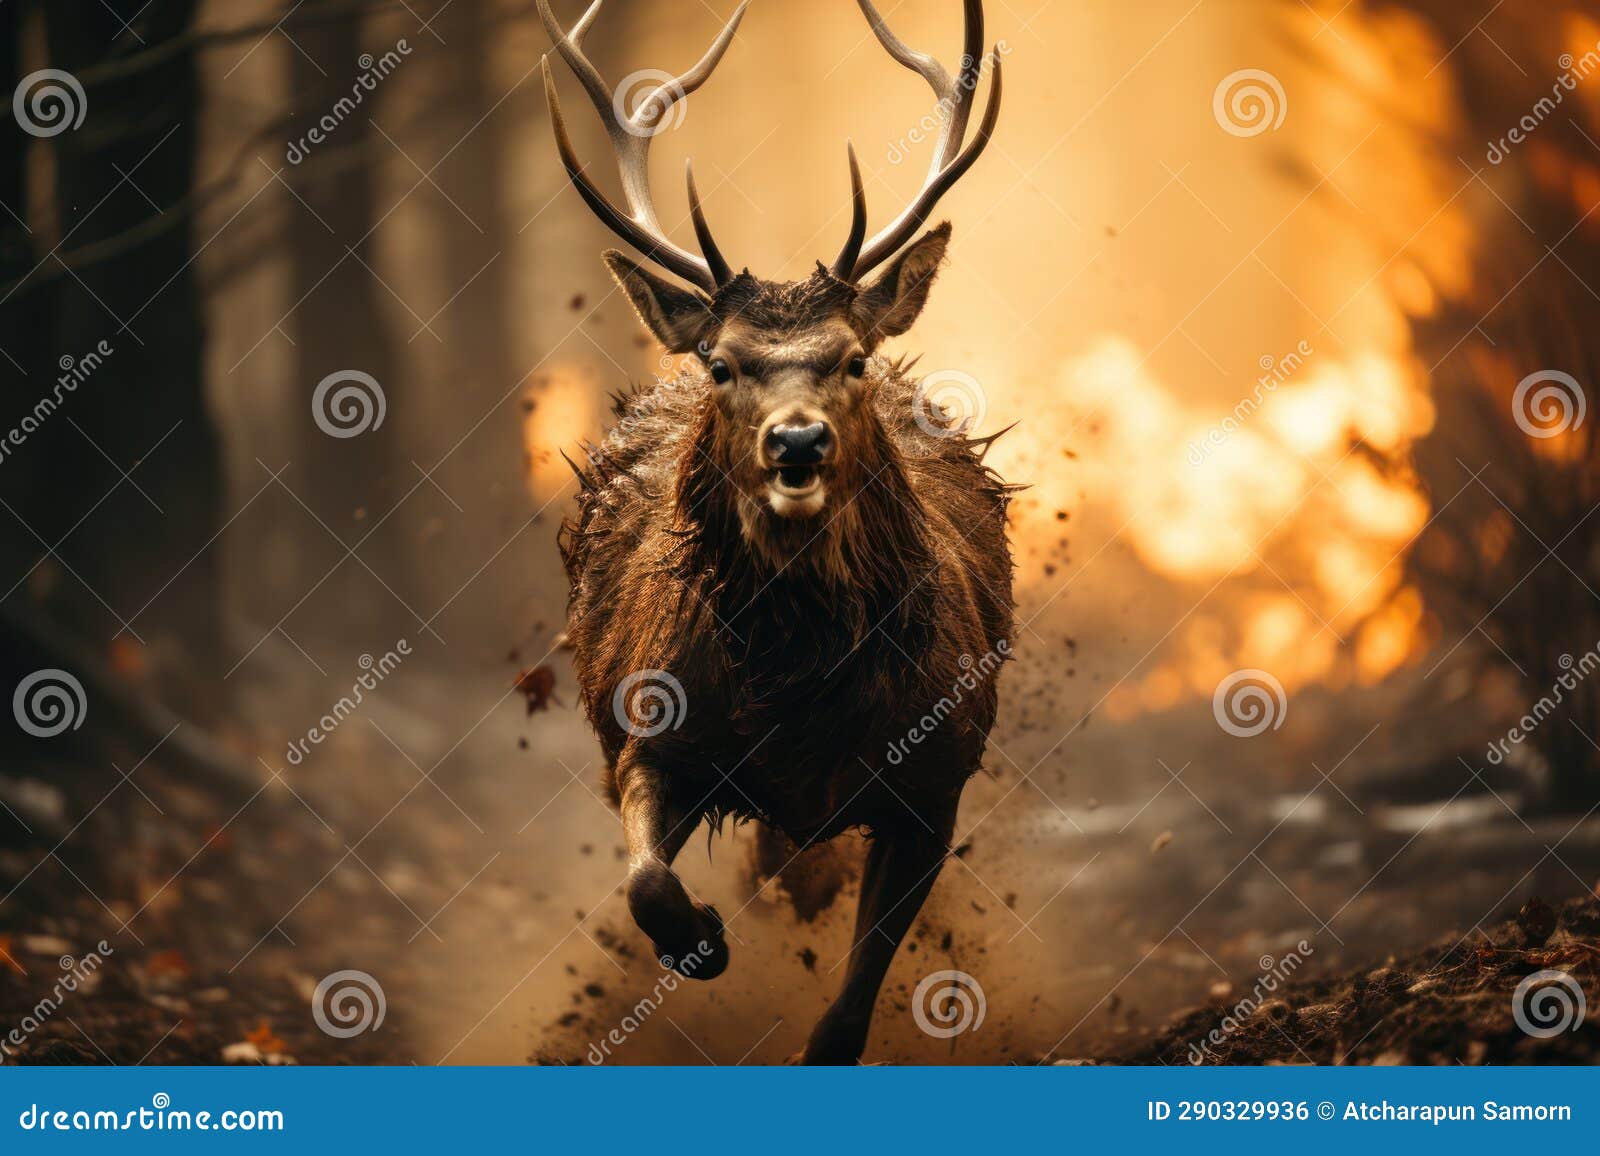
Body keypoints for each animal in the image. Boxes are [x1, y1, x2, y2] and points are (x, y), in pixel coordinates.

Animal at [539, 0, 1014, 1064]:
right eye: (723, 364)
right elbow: (646, 880)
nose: (796, 441)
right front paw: (703, 941)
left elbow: (849, 1012)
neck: (799, 701)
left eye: (851, 358)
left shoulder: (935, 777)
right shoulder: (648, 725)